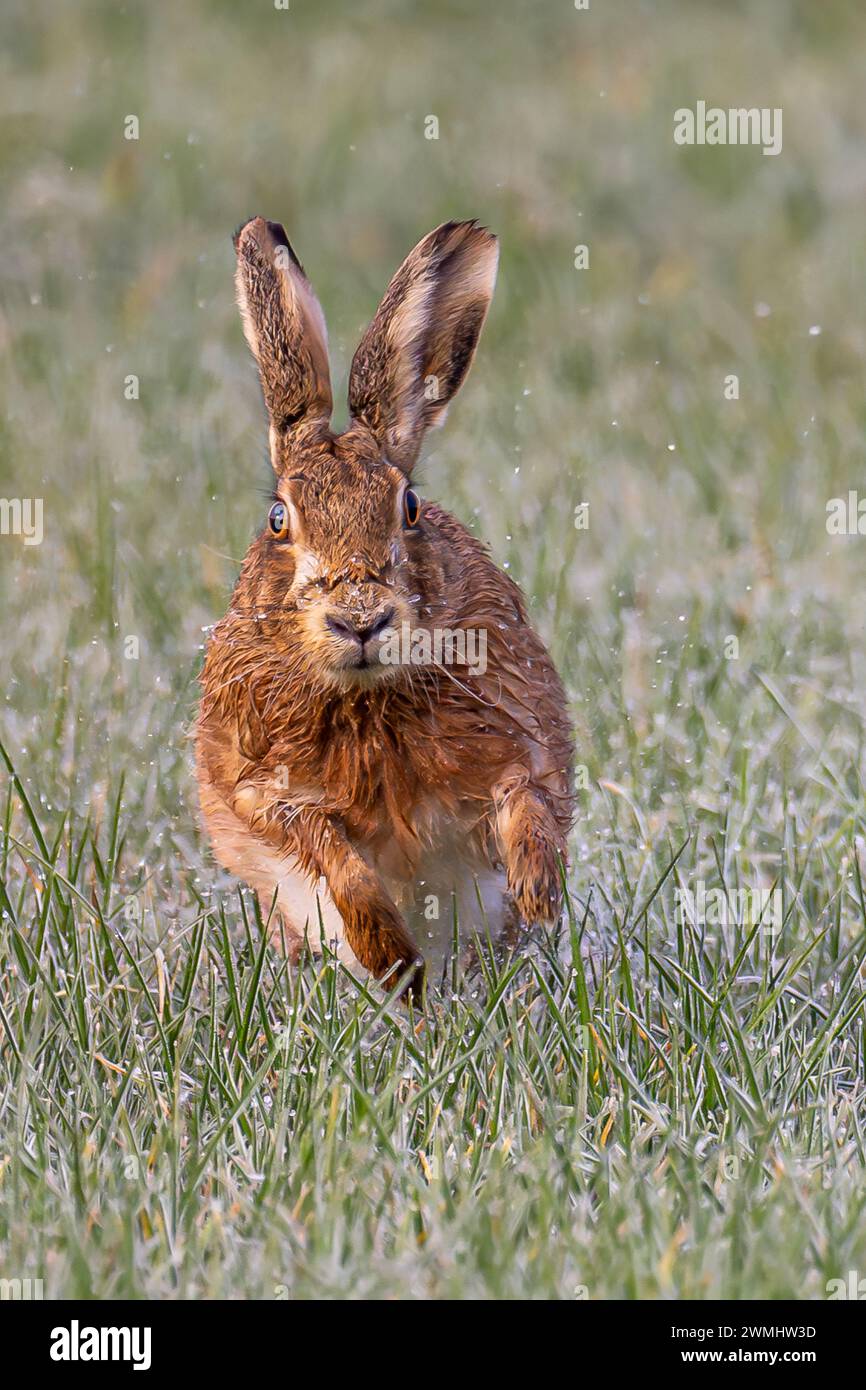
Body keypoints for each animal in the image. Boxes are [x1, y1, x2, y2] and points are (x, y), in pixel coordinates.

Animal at [196, 216, 574, 998]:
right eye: (279, 519)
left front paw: (538, 890)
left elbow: (524, 796)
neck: (367, 697)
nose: (361, 620)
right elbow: (329, 851)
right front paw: (390, 953)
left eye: (410, 506)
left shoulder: (522, 743)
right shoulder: (261, 795)